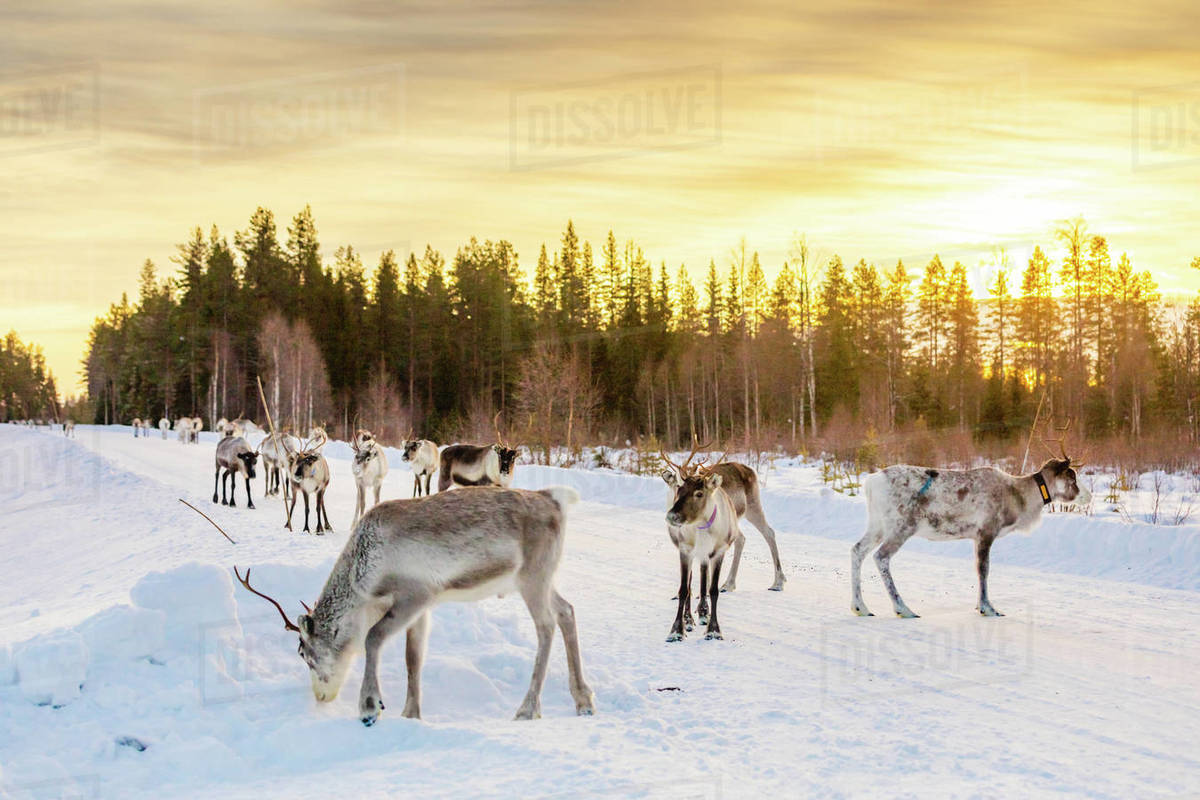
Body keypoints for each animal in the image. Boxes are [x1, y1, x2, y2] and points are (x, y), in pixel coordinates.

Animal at [232, 484, 595, 725]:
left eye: (304, 654)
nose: (321, 697)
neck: (365, 579)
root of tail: (555, 499)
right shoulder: (421, 610)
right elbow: (413, 657)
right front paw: (411, 715)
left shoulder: (417, 594)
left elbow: (372, 638)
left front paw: (369, 706)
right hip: (542, 578)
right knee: (567, 611)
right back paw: (583, 700)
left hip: (533, 576)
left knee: (546, 626)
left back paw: (528, 708)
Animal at [659, 442, 743, 642]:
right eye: (680, 489)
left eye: (699, 493)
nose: (672, 516)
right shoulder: (685, 550)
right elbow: (684, 589)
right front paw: (677, 630)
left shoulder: (718, 551)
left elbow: (713, 589)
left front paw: (714, 629)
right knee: (691, 583)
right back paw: (690, 618)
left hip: (706, 554)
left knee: (704, 576)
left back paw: (704, 612)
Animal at [661, 447, 786, 593]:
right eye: (676, 485)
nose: (674, 512)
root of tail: (749, 470)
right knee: (741, 538)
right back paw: (728, 584)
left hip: (752, 507)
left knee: (769, 532)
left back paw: (778, 583)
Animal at [850, 419, 1092, 618]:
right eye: (1071, 477)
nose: (1088, 496)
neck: (1019, 498)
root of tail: (870, 482)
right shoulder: (986, 531)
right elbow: (984, 569)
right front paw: (988, 608)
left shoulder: (975, 537)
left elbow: (978, 569)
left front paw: (979, 605)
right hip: (902, 526)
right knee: (881, 556)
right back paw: (903, 608)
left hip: (877, 525)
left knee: (857, 549)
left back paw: (860, 607)